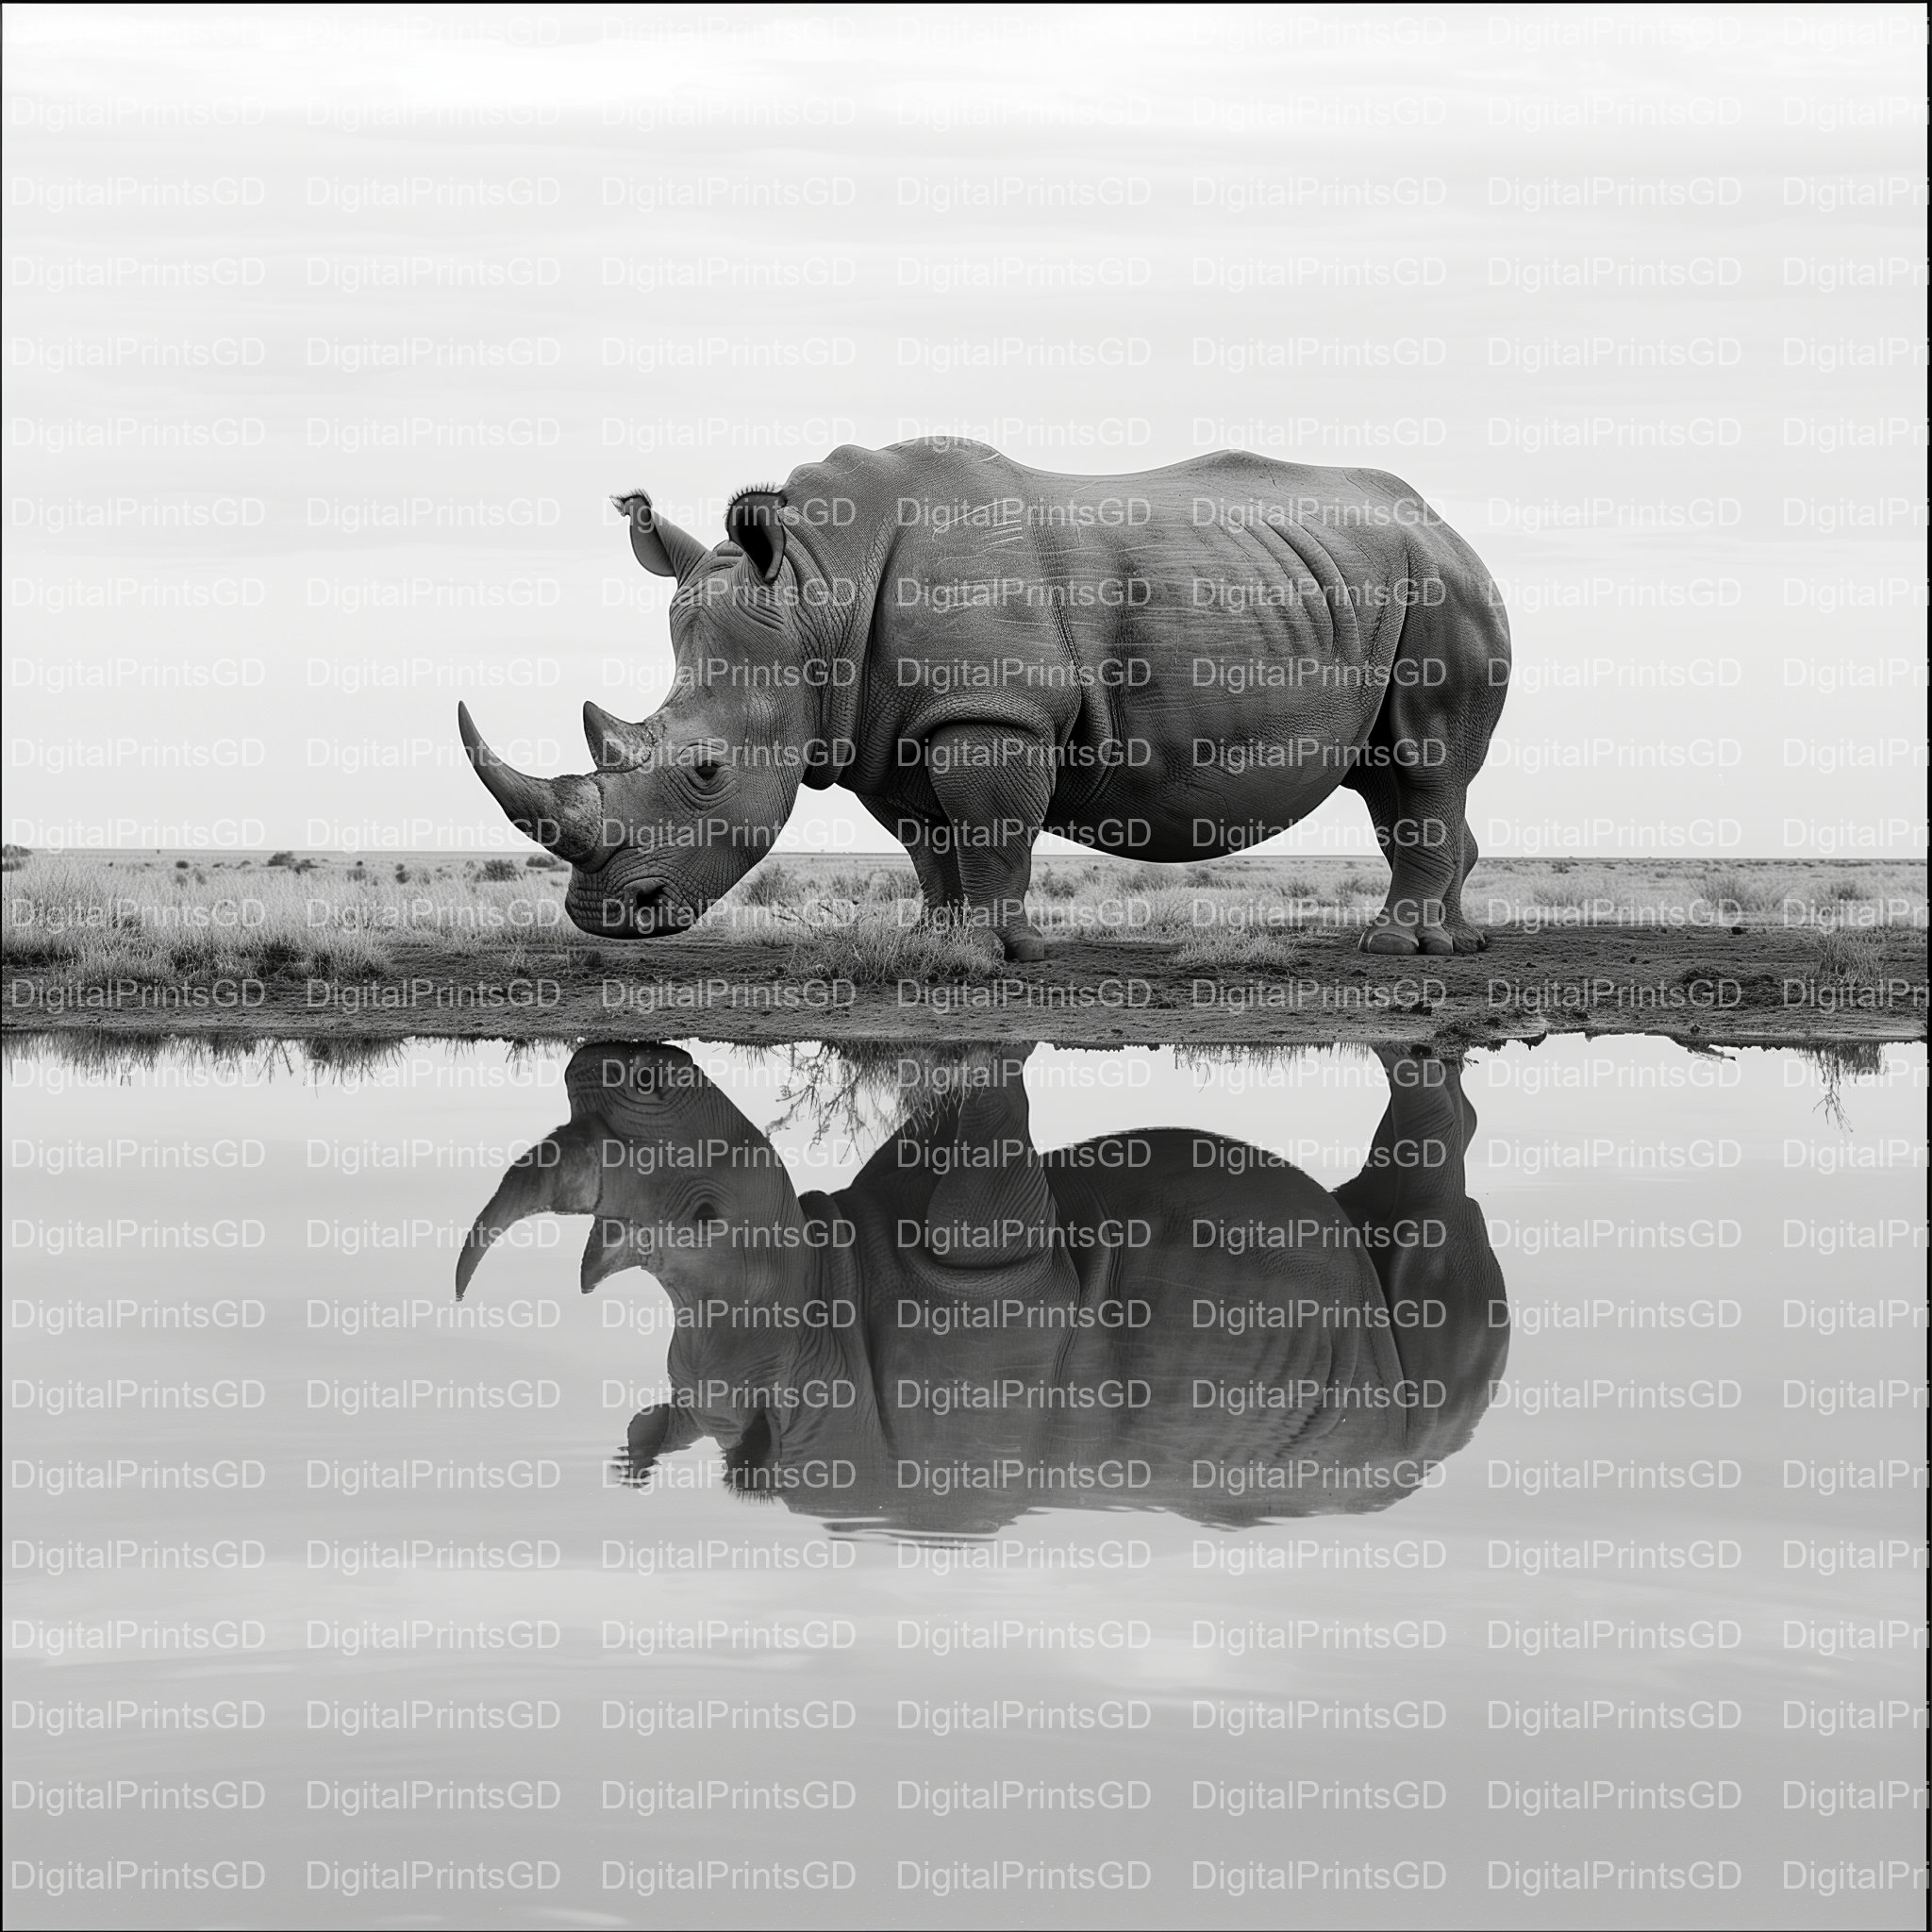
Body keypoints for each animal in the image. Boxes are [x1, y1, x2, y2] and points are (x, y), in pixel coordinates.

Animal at [457, 1042, 1507, 1534]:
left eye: (708, 1211)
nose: (616, 1057)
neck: (809, 1325)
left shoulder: (977, 1256)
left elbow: (970, 1104)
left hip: (1407, 1417)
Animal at [458, 438, 1509, 959]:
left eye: (709, 771)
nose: (604, 916)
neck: (816, 592)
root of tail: (1446, 524)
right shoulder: (887, 727)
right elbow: (932, 842)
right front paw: (930, 944)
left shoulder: (991, 710)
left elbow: (989, 828)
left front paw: (985, 956)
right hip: (1373, 584)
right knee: (1399, 781)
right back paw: (1454, 941)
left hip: (1441, 591)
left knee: (1425, 766)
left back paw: (1396, 948)